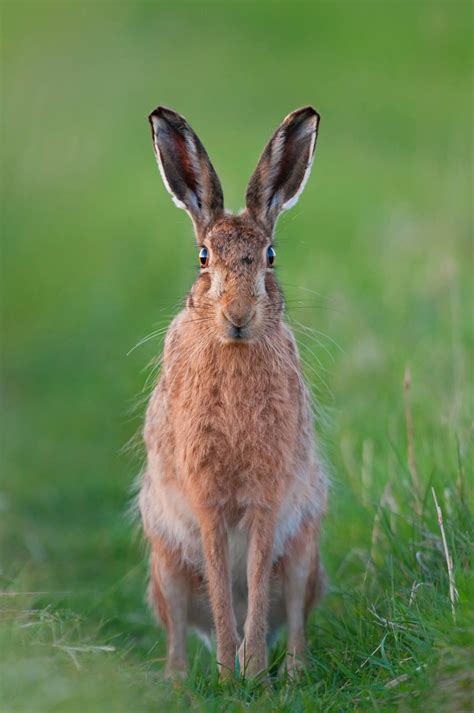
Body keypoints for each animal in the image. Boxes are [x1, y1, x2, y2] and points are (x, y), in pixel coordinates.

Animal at [139, 105, 328, 680]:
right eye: (203, 257)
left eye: (271, 255)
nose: (238, 316)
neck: (234, 349)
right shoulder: (205, 499)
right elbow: (223, 586)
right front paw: (229, 673)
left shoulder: (267, 494)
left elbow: (256, 582)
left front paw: (252, 675)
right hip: (165, 566)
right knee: (179, 629)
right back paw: (181, 683)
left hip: (306, 551)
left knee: (291, 612)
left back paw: (288, 673)